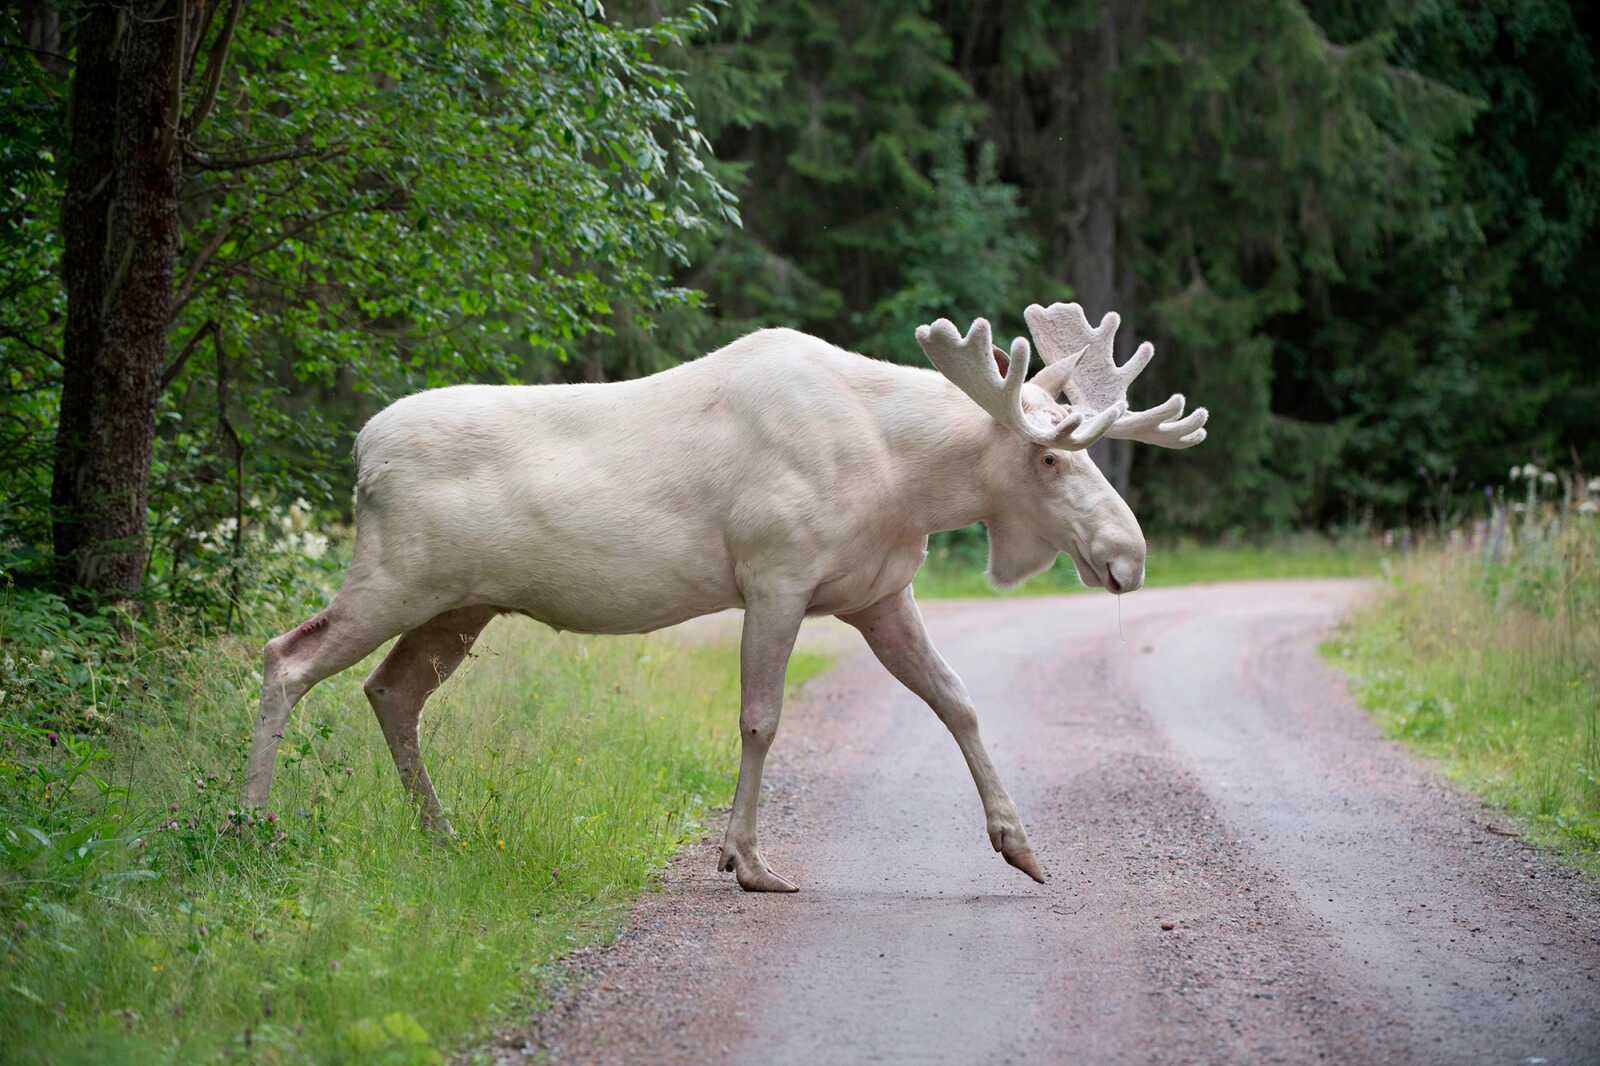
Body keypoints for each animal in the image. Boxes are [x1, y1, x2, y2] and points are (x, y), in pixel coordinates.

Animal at [243, 301, 1207, 892]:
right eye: (1048, 457)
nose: (1128, 557)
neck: (903, 478)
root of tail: (361, 452)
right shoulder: (775, 574)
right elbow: (760, 718)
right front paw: (747, 861)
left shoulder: (878, 594)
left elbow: (960, 702)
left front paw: (1020, 845)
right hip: (397, 577)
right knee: (287, 656)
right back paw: (251, 823)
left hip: (460, 604)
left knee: (390, 690)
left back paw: (439, 836)